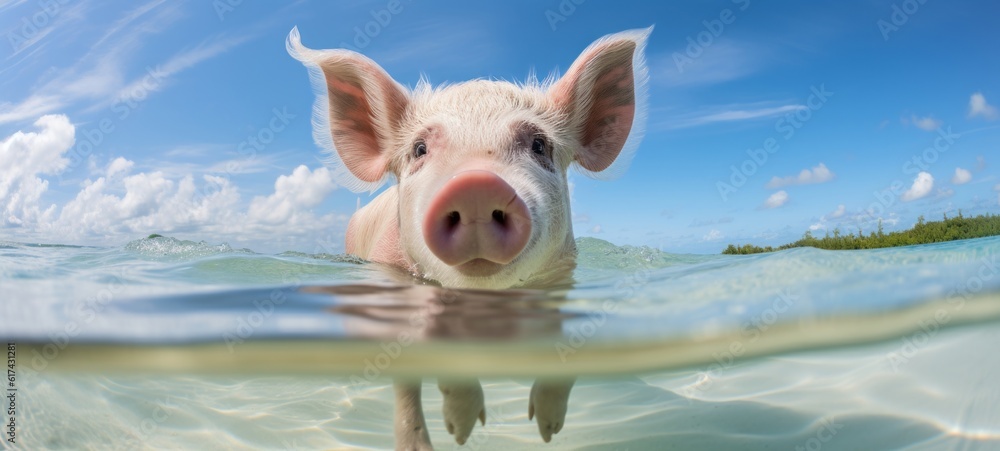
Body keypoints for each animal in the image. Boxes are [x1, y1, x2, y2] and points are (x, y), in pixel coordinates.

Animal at [288, 25, 650, 449]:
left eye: (539, 144)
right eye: (419, 149)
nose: (476, 184)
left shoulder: (562, 278)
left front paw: (546, 430)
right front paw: (457, 434)